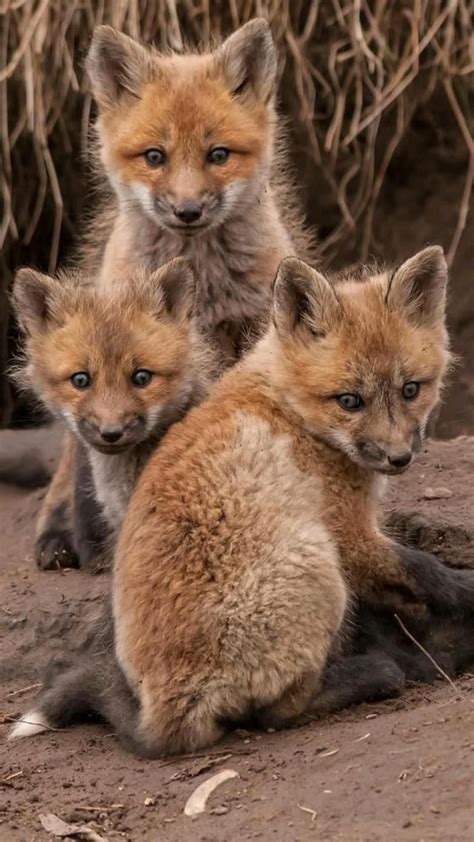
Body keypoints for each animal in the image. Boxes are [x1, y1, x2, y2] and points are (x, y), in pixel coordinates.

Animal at [34, 18, 315, 571]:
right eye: (154, 157)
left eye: (218, 155)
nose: (188, 211)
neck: (200, 279)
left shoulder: (251, 329)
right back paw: (61, 537)